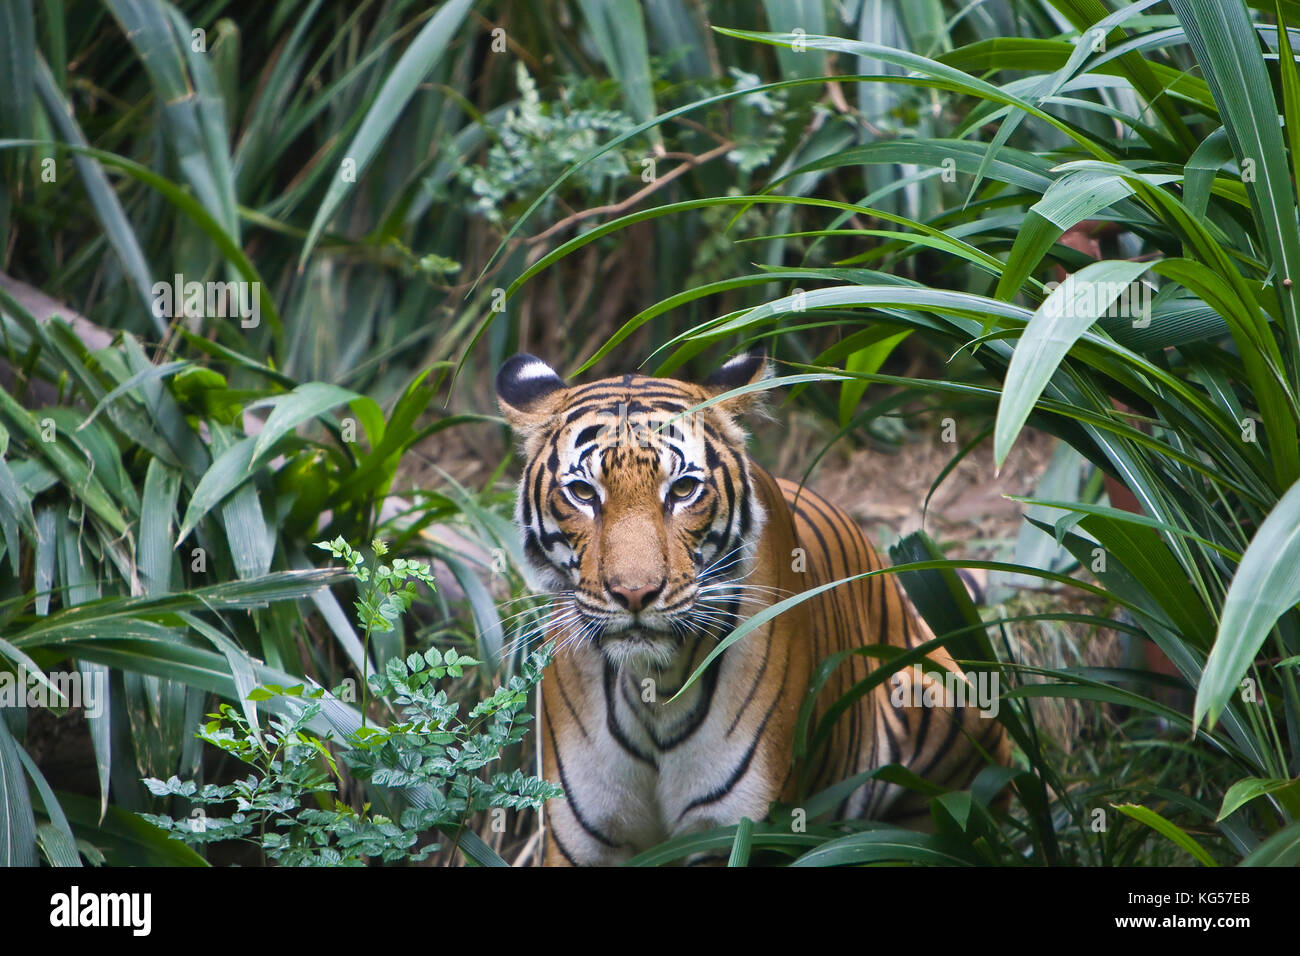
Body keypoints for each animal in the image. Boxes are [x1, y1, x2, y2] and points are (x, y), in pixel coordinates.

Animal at [496, 351, 1010, 866]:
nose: (636, 593)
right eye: (584, 493)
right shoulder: (583, 843)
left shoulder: (738, 830)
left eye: (682, 490)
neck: (650, 692)